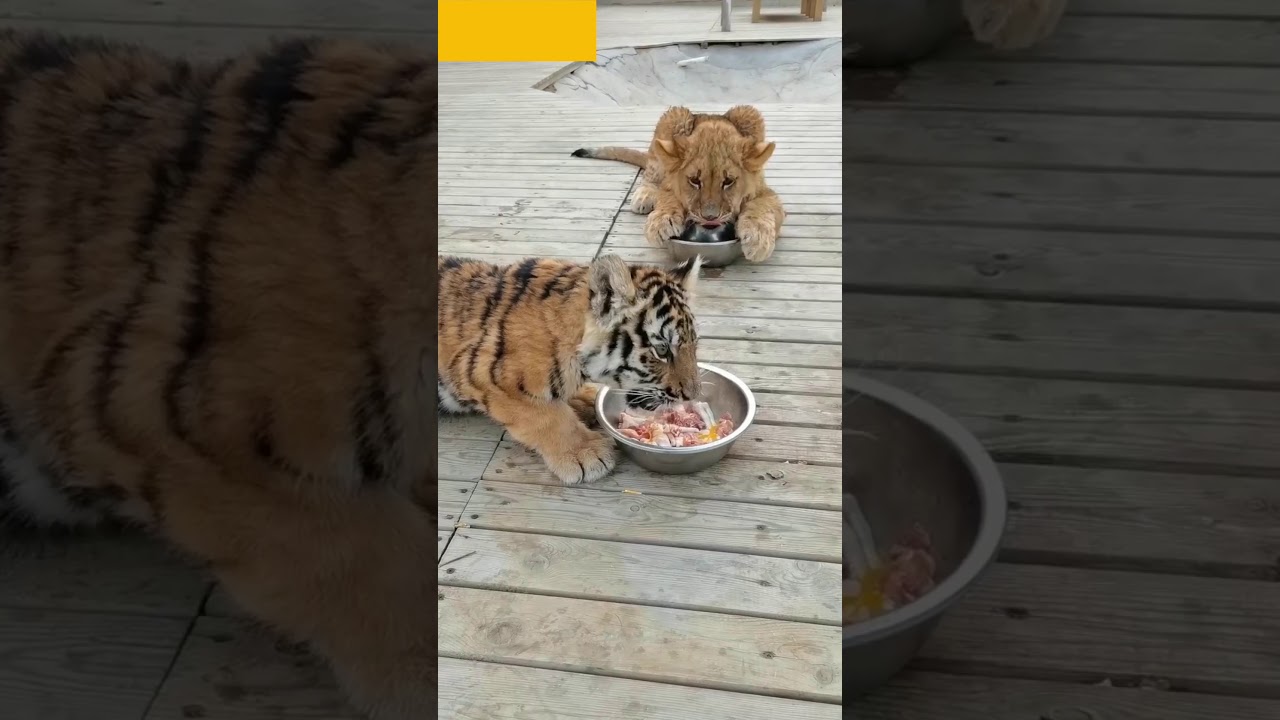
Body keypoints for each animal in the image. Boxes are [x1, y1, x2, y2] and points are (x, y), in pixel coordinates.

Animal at [437, 253, 703, 485]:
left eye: (694, 343)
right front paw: (585, 453)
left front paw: (580, 399)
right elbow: (545, 415)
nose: (692, 395)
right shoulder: (478, 373)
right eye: (662, 350)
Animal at [572, 105, 785, 263]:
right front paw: (662, 222)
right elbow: (668, 198)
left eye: (728, 182)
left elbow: (761, 207)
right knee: (649, 174)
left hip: (748, 113)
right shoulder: (668, 185)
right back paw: (644, 196)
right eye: (695, 181)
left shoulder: (766, 193)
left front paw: (757, 238)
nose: (709, 217)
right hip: (674, 118)